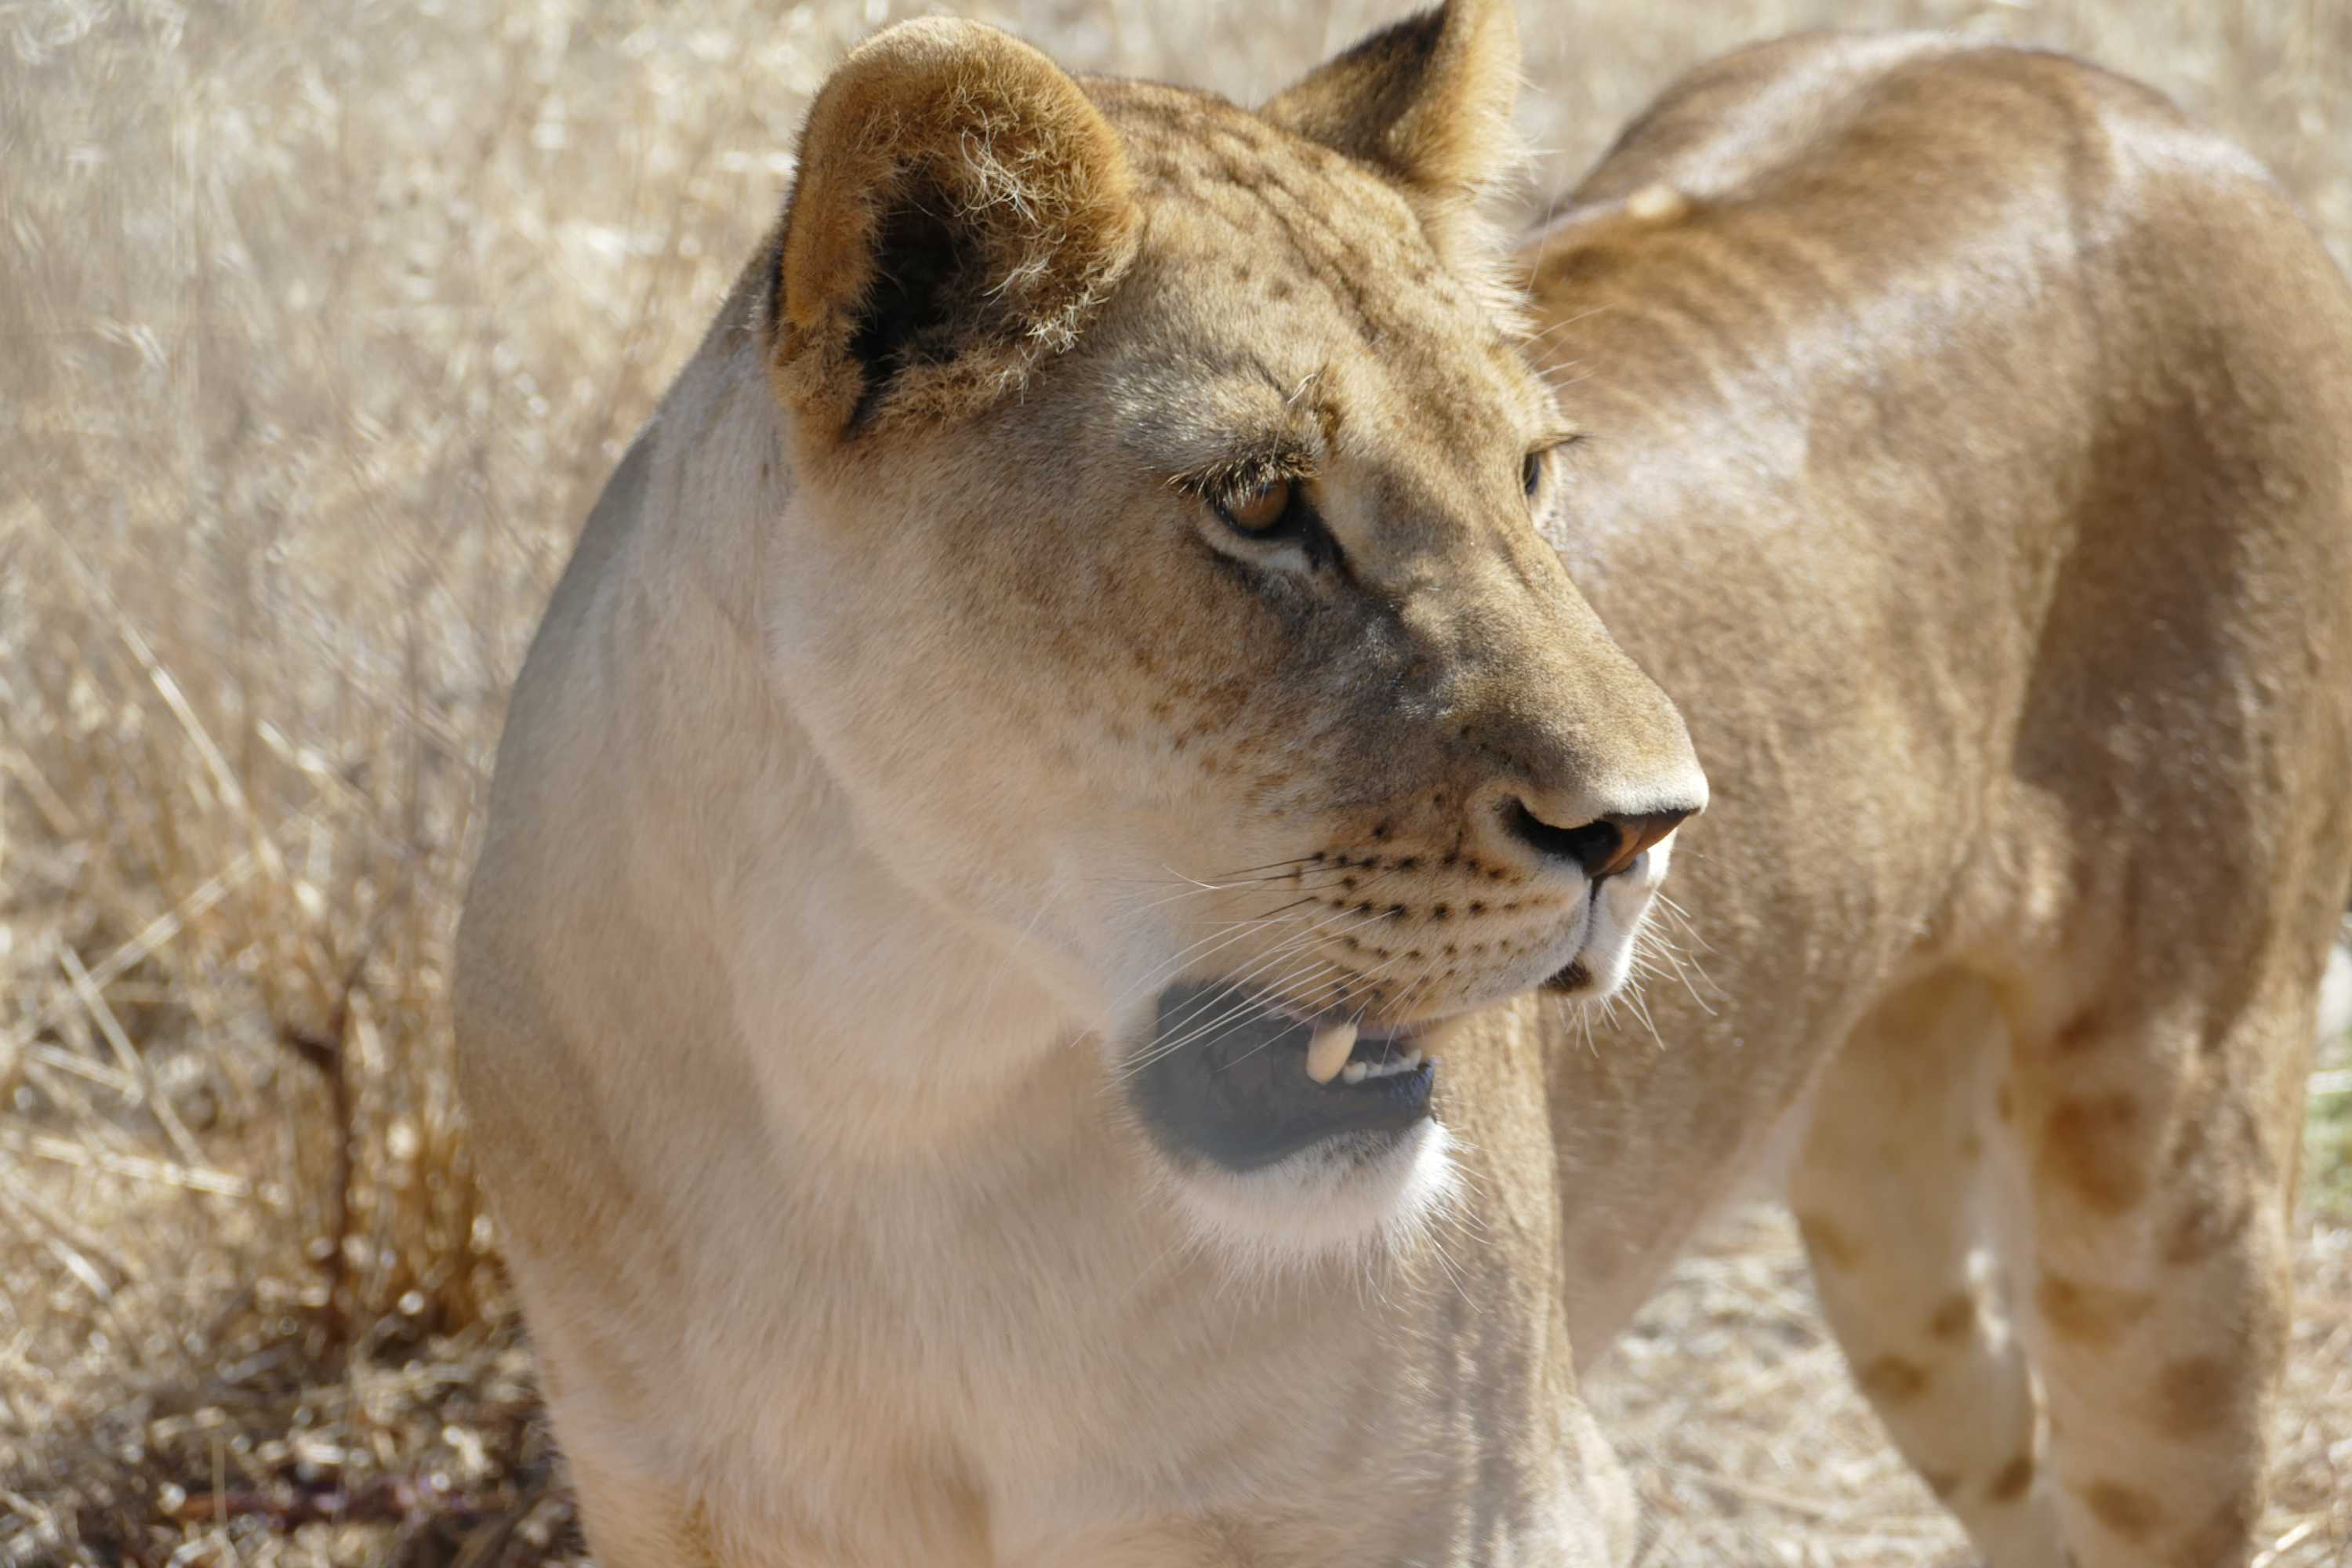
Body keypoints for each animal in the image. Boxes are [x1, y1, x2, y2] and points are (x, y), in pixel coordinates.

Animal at [452, 4, 2352, 1564]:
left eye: (1533, 473)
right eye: (1260, 503)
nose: (1650, 829)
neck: (887, 1106)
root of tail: (2121, 87)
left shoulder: (1502, 1504)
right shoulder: (674, 1500)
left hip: (2170, 1183)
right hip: (1896, 1239)